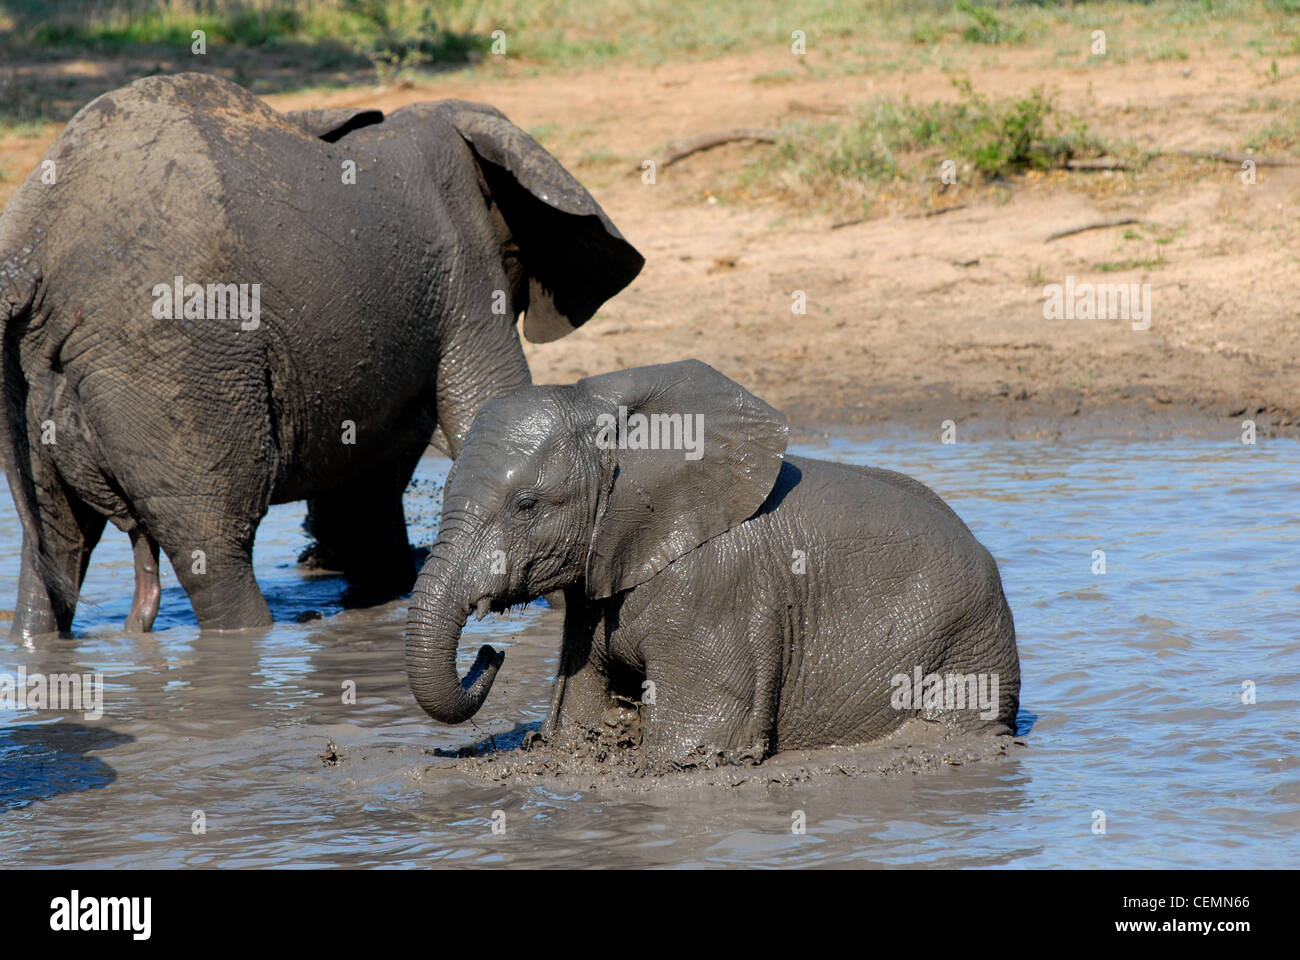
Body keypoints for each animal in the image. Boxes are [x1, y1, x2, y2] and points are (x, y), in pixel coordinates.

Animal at [0, 72, 643, 638]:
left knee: (54, 546)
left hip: (41, 385)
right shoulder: (463, 272)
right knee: (214, 545)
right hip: (171, 369)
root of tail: (31, 248)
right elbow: (486, 404)